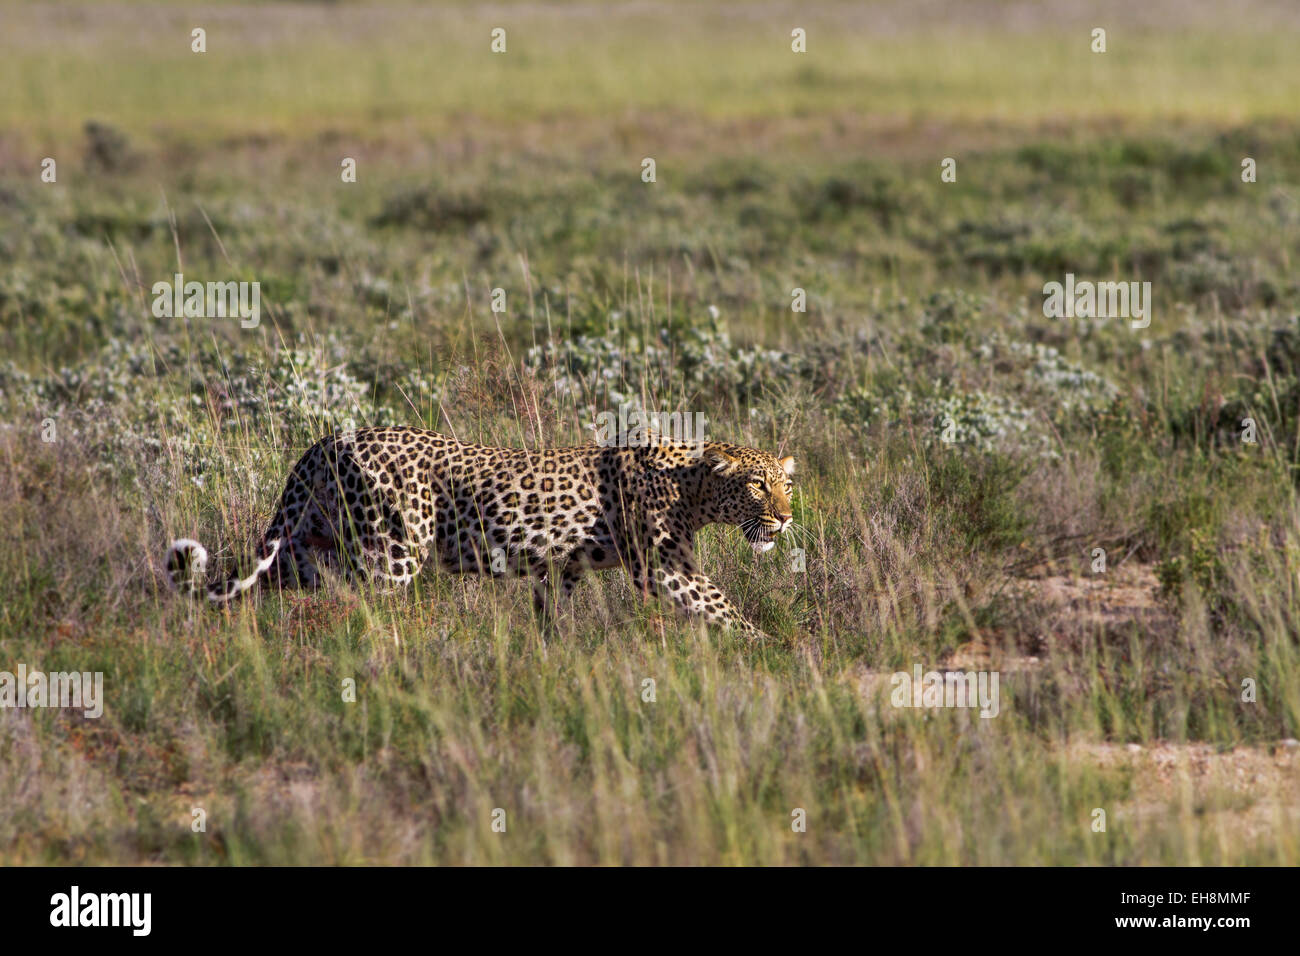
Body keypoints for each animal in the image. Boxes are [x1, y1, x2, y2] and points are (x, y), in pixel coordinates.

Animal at [166, 426, 796, 639]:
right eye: (757, 487)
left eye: (785, 485)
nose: (787, 516)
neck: (692, 486)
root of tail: (329, 439)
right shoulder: (665, 568)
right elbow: (724, 608)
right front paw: (771, 649)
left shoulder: (561, 567)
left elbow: (551, 615)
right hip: (392, 551)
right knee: (356, 600)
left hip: (309, 539)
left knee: (279, 582)